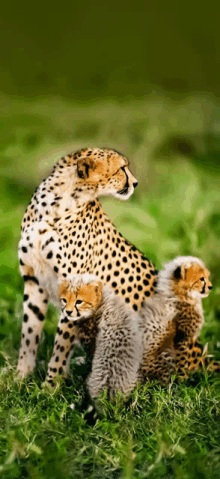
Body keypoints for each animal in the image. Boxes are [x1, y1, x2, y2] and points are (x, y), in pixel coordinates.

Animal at [18, 146, 157, 378]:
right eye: (122, 168)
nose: (136, 183)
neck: (55, 204)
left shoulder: (75, 287)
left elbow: (61, 345)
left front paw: (51, 383)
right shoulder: (33, 280)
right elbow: (29, 332)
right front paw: (20, 377)